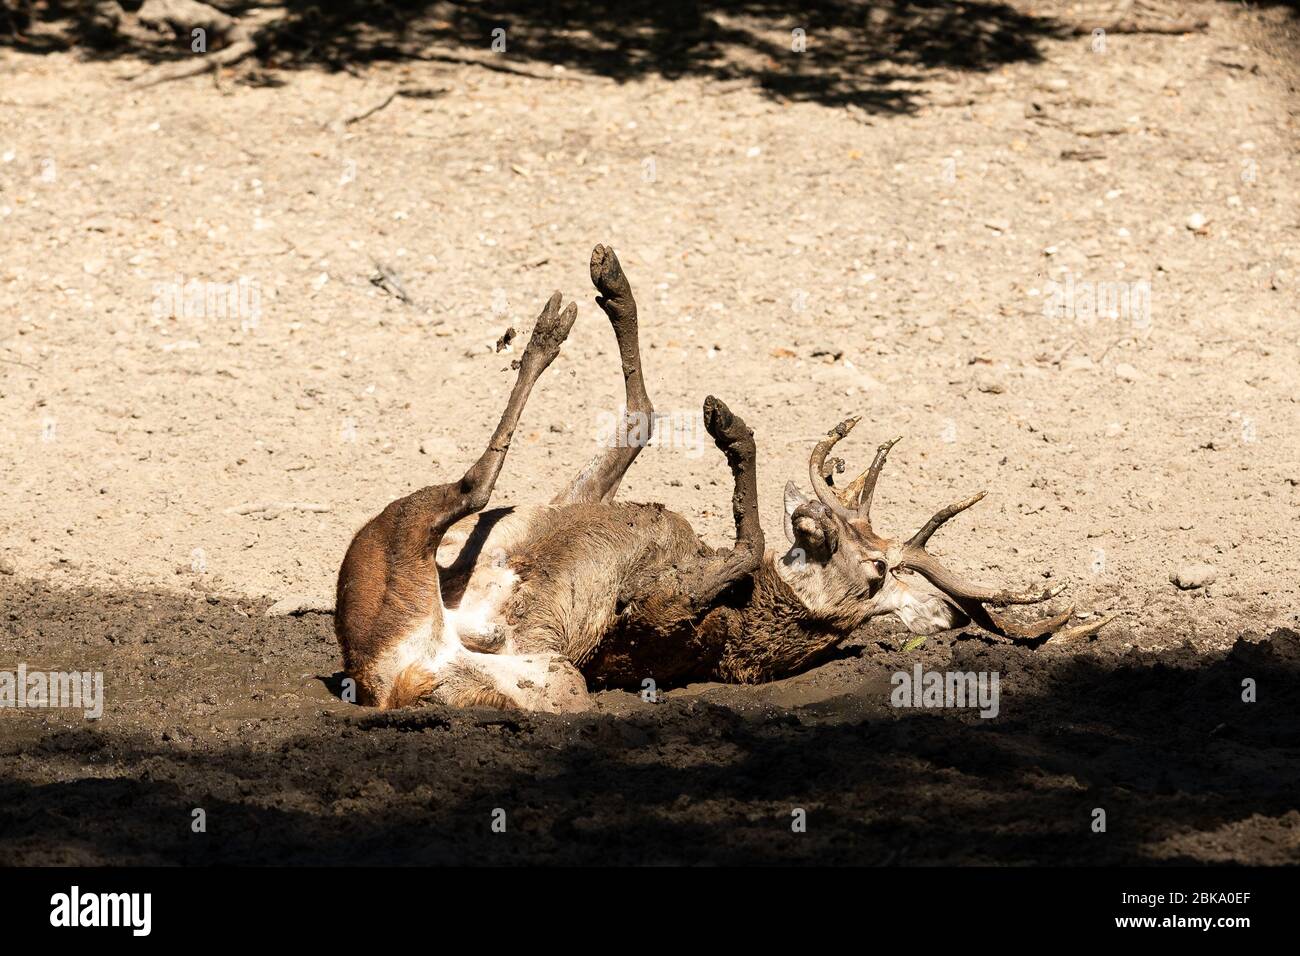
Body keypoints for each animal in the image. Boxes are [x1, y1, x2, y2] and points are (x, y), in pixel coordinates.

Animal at [334, 245, 1114, 712]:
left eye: (875, 572)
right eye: (865, 554)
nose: (815, 517)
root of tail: (400, 678)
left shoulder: (650, 613)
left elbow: (726, 516)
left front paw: (730, 430)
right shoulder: (576, 512)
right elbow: (641, 420)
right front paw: (610, 283)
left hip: (430, 570)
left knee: (472, 487)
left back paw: (552, 331)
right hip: (536, 665)